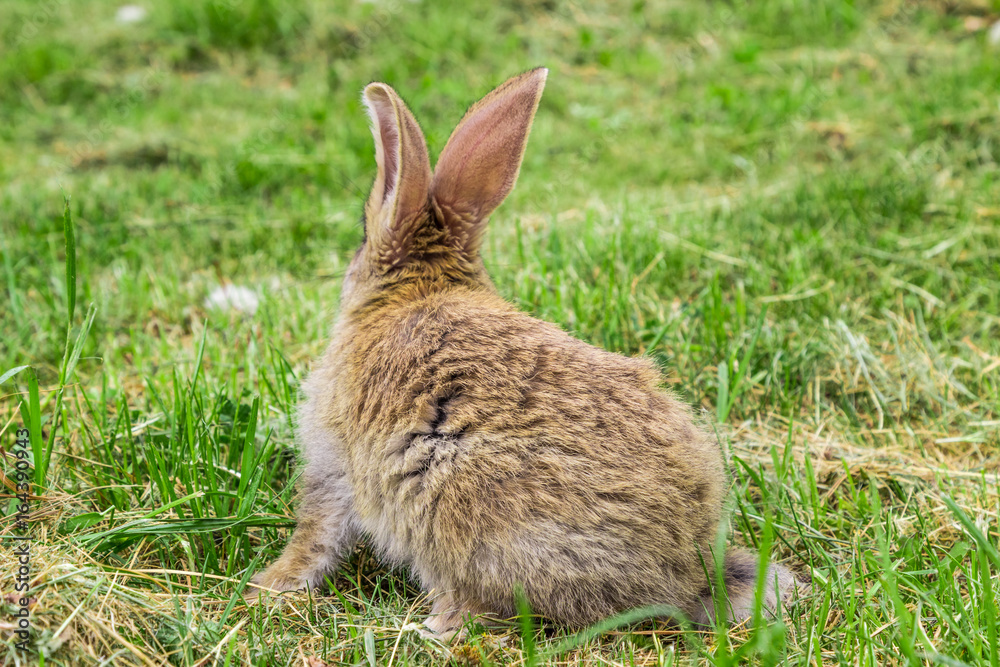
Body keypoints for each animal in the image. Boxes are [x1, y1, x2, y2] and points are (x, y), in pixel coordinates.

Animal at [248, 67, 805, 638]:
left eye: (362, 237)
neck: (417, 289)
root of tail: (686, 576)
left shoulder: (335, 460)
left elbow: (317, 531)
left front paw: (269, 586)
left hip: (461, 508)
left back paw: (431, 627)